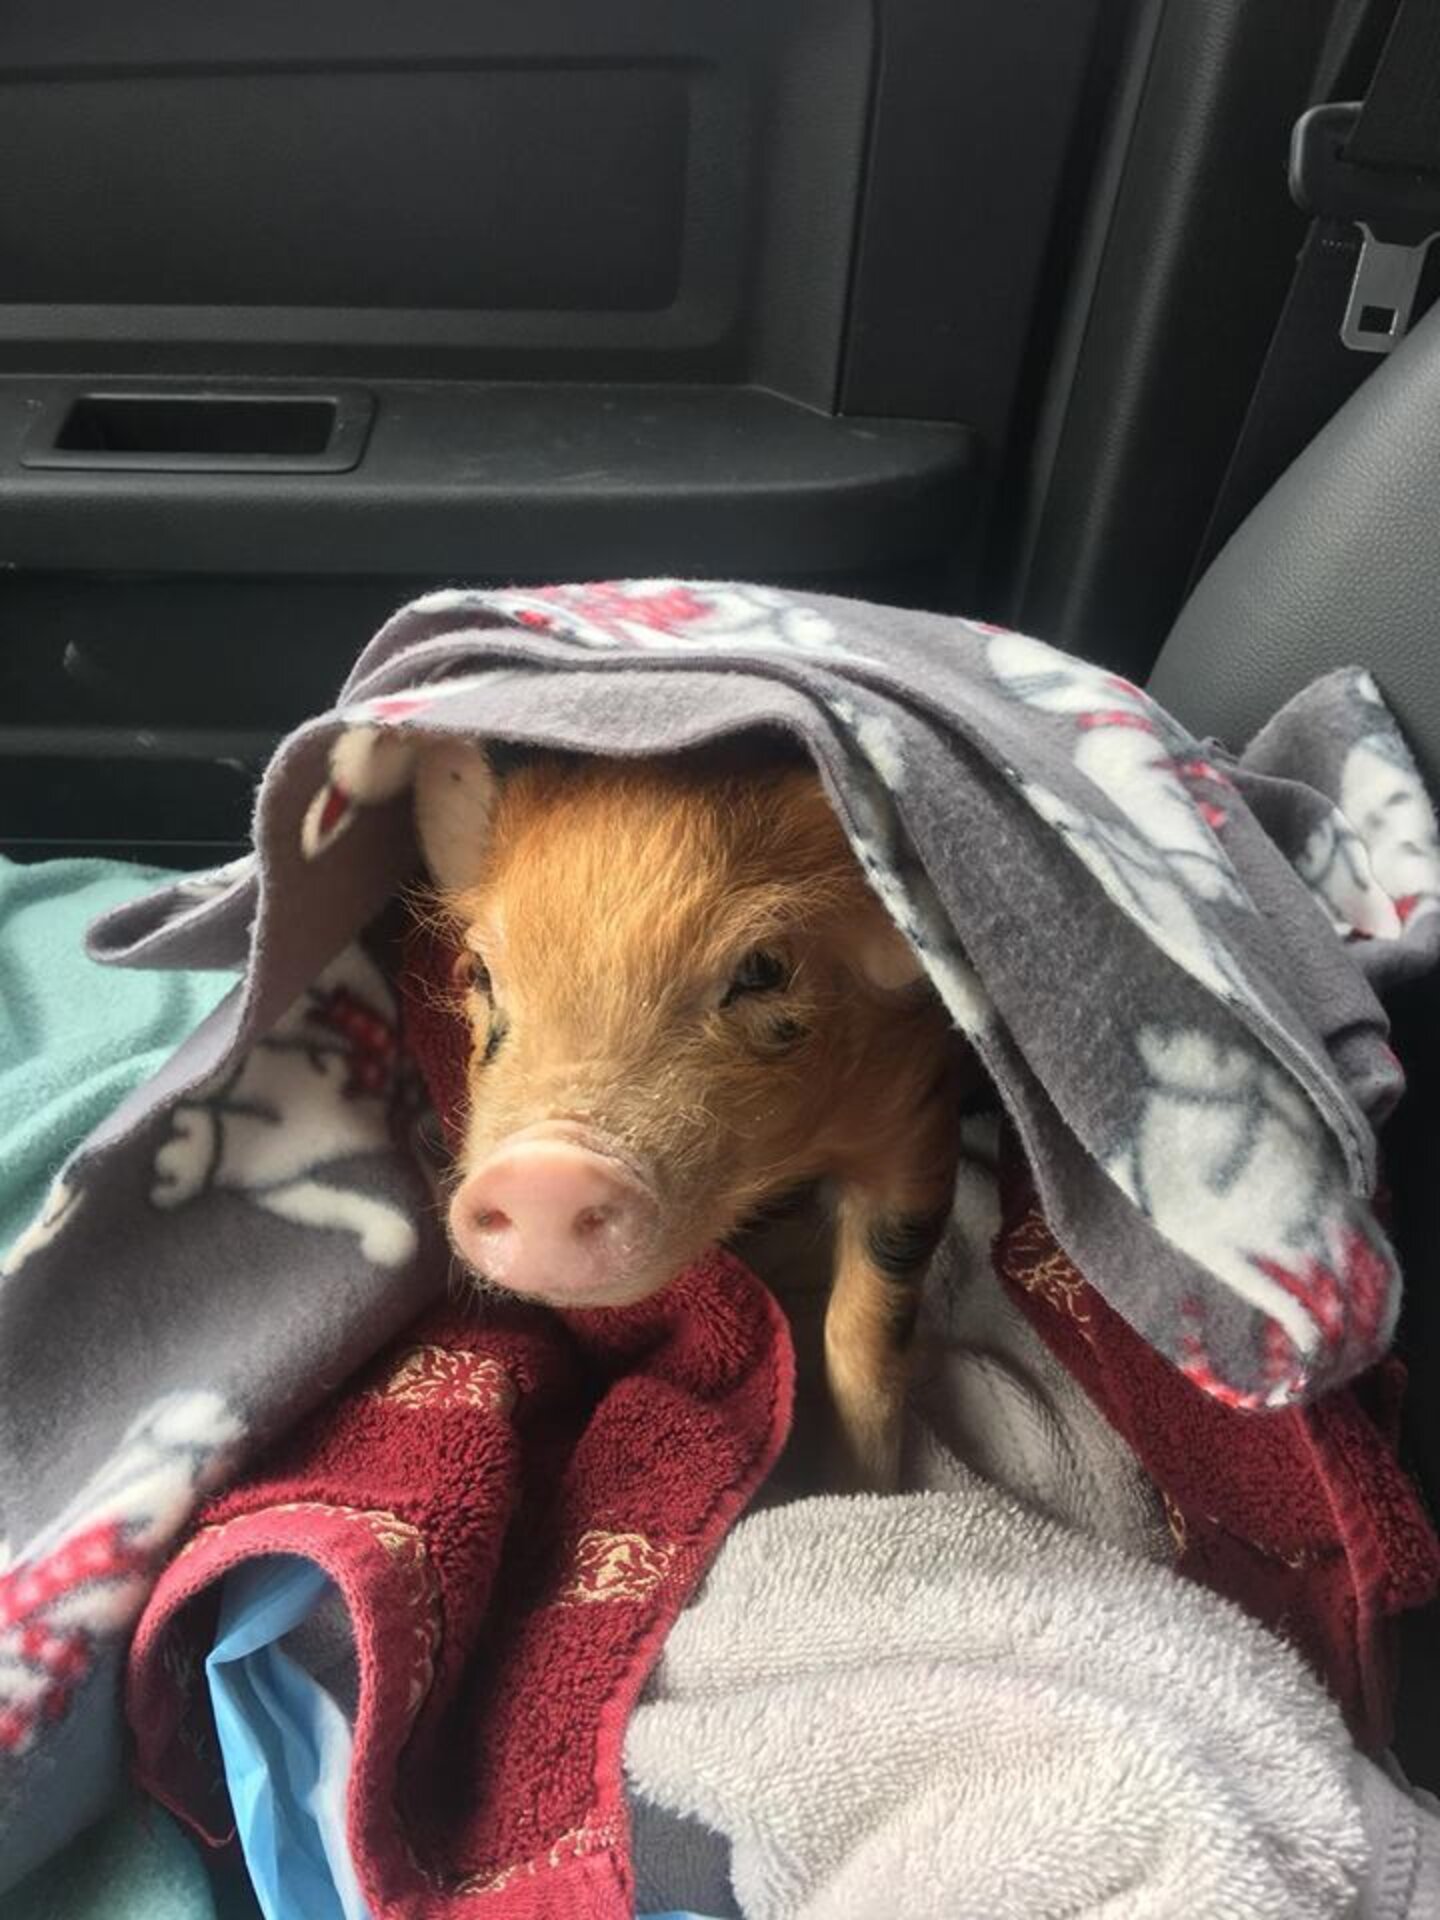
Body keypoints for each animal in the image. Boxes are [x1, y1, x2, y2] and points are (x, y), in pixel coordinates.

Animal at [413, 737, 968, 1488]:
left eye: (763, 969)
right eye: (479, 973)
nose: (543, 1173)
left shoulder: (911, 1110)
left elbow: (865, 1326)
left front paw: (865, 1487)